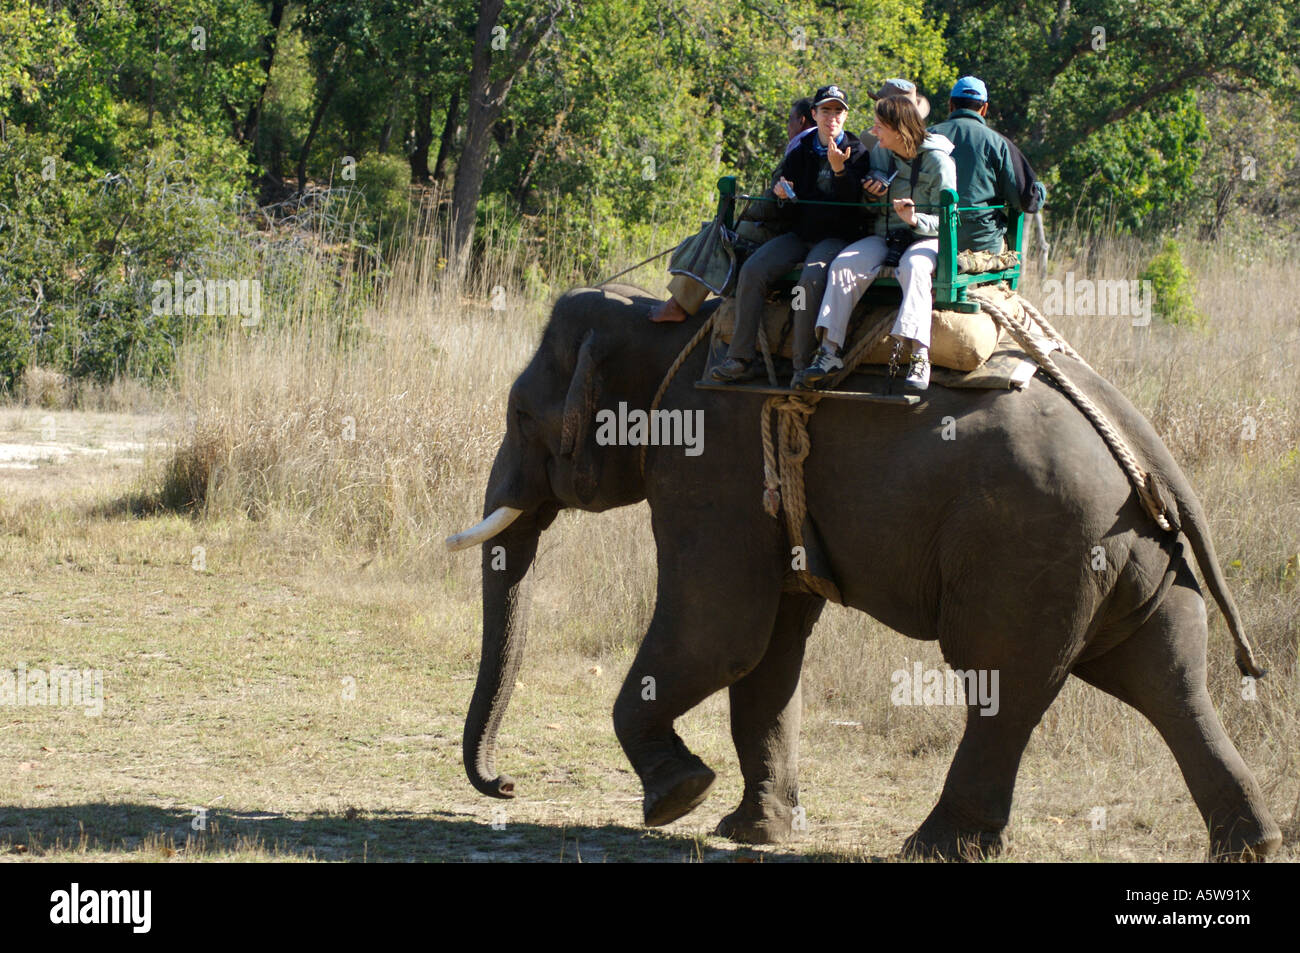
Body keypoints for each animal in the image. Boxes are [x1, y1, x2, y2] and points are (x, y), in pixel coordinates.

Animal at [446, 282, 1282, 861]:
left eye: (521, 418)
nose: (506, 783)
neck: (669, 324)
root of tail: (1143, 445)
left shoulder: (709, 460)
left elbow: (719, 631)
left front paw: (676, 799)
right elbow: (769, 650)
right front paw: (748, 828)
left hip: (1035, 549)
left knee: (1004, 680)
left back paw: (934, 845)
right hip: (1134, 557)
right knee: (1166, 677)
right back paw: (1252, 844)